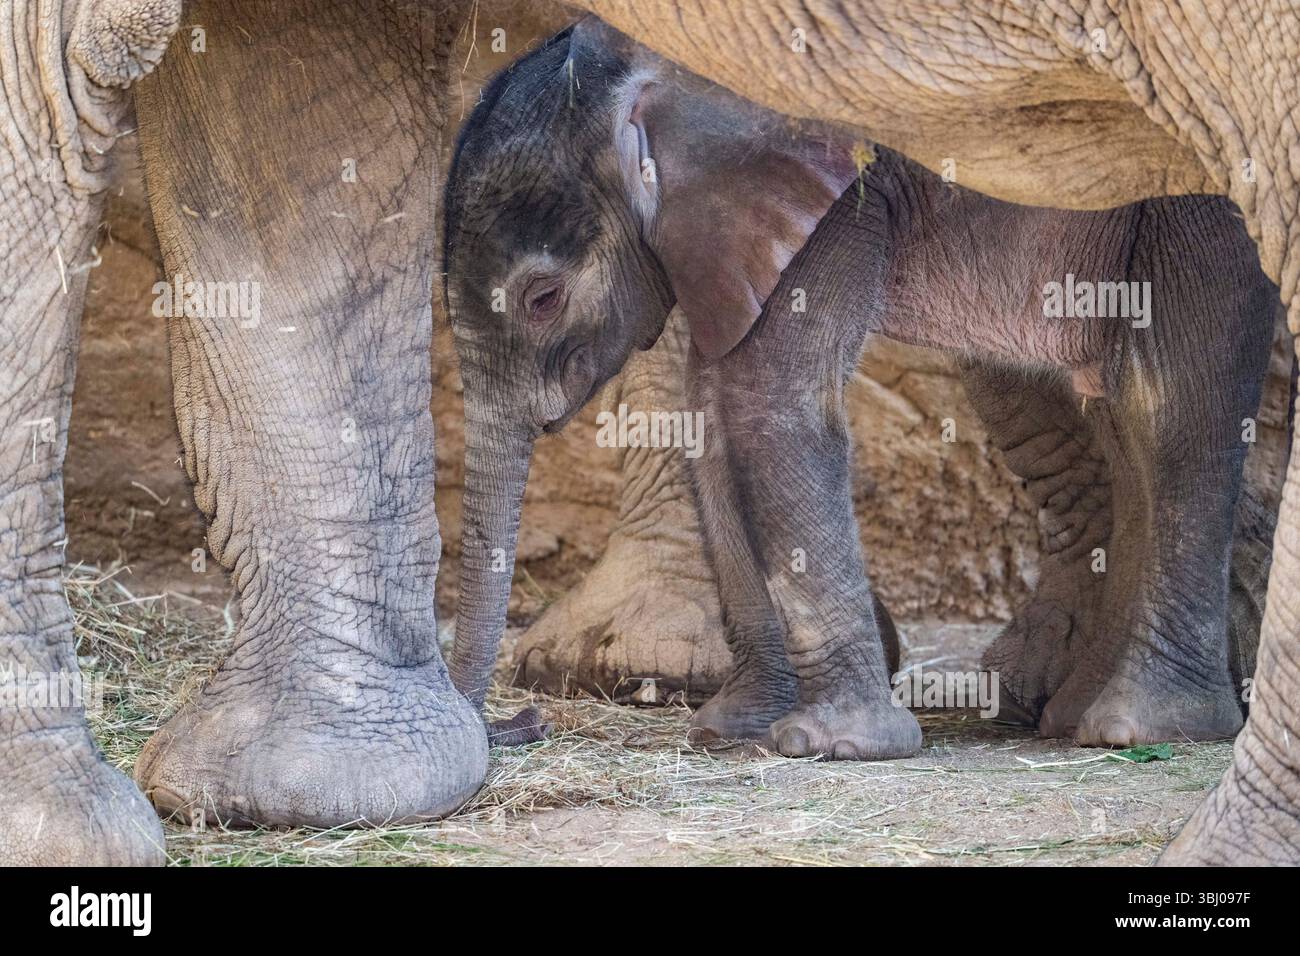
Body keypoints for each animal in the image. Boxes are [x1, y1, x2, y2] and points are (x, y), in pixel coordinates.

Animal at [442, 13, 1293, 853]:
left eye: (544, 297)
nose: (525, 721)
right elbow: (712, 412)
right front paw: (732, 730)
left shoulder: (830, 201)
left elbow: (772, 402)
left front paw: (834, 746)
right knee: (1120, 416)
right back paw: (1075, 714)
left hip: (1195, 199)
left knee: (1173, 403)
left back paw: (1138, 725)